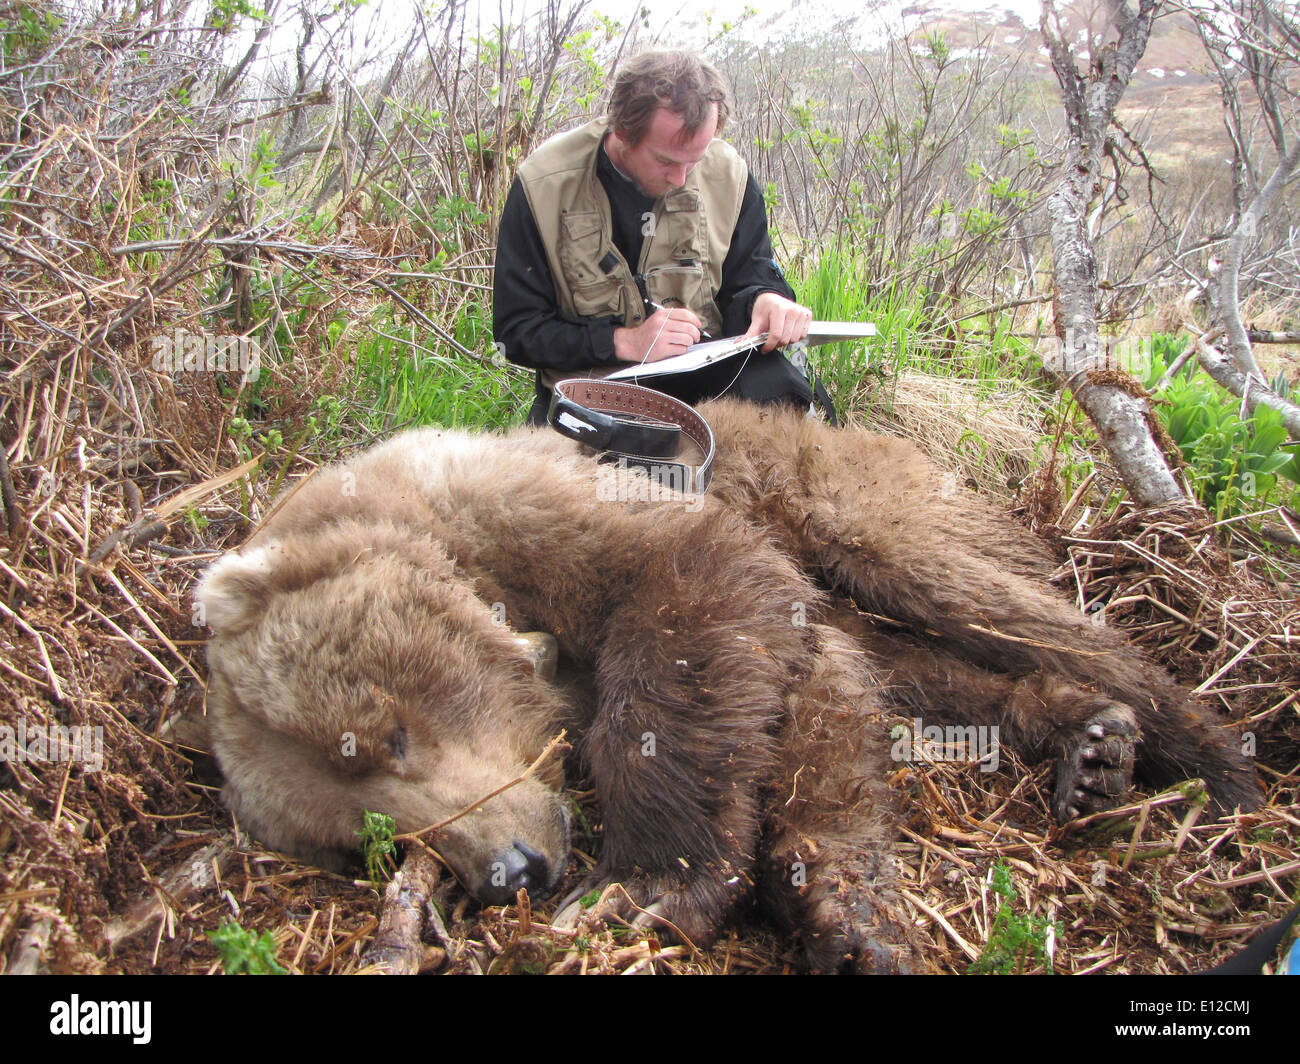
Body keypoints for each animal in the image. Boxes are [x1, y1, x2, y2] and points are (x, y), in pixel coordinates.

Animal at [196, 397, 1260, 973]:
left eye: (391, 733)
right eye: (365, 839)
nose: (513, 873)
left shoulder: (542, 510)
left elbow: (697, 600)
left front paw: (649, 888)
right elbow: (826, 695)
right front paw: (831, 908)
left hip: (853, 499)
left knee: (986, 601)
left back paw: (1215, 759)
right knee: (928, 668)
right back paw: (1090, 741)